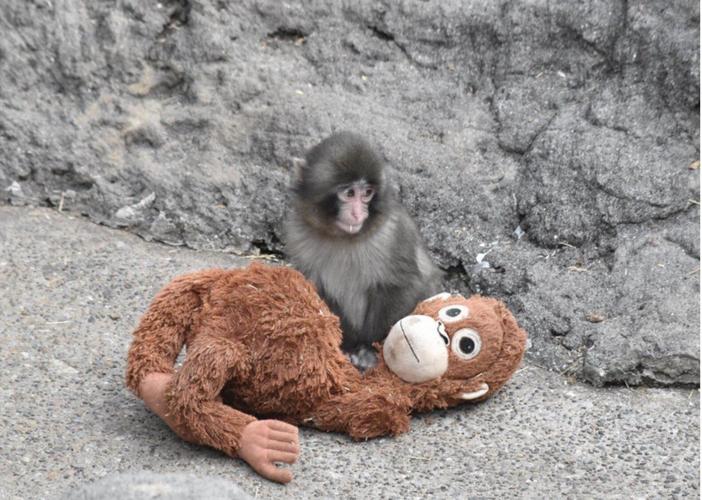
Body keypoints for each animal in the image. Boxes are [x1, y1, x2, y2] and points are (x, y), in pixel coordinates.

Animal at [284, 132, 443, 368]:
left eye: (367, 193)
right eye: (349, 193)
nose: (358, 214)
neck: (342, 237)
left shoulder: (393, 233)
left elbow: (403, 285)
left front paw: (368, 349)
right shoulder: (297, 235)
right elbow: (316, 291)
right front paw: (347, 346)